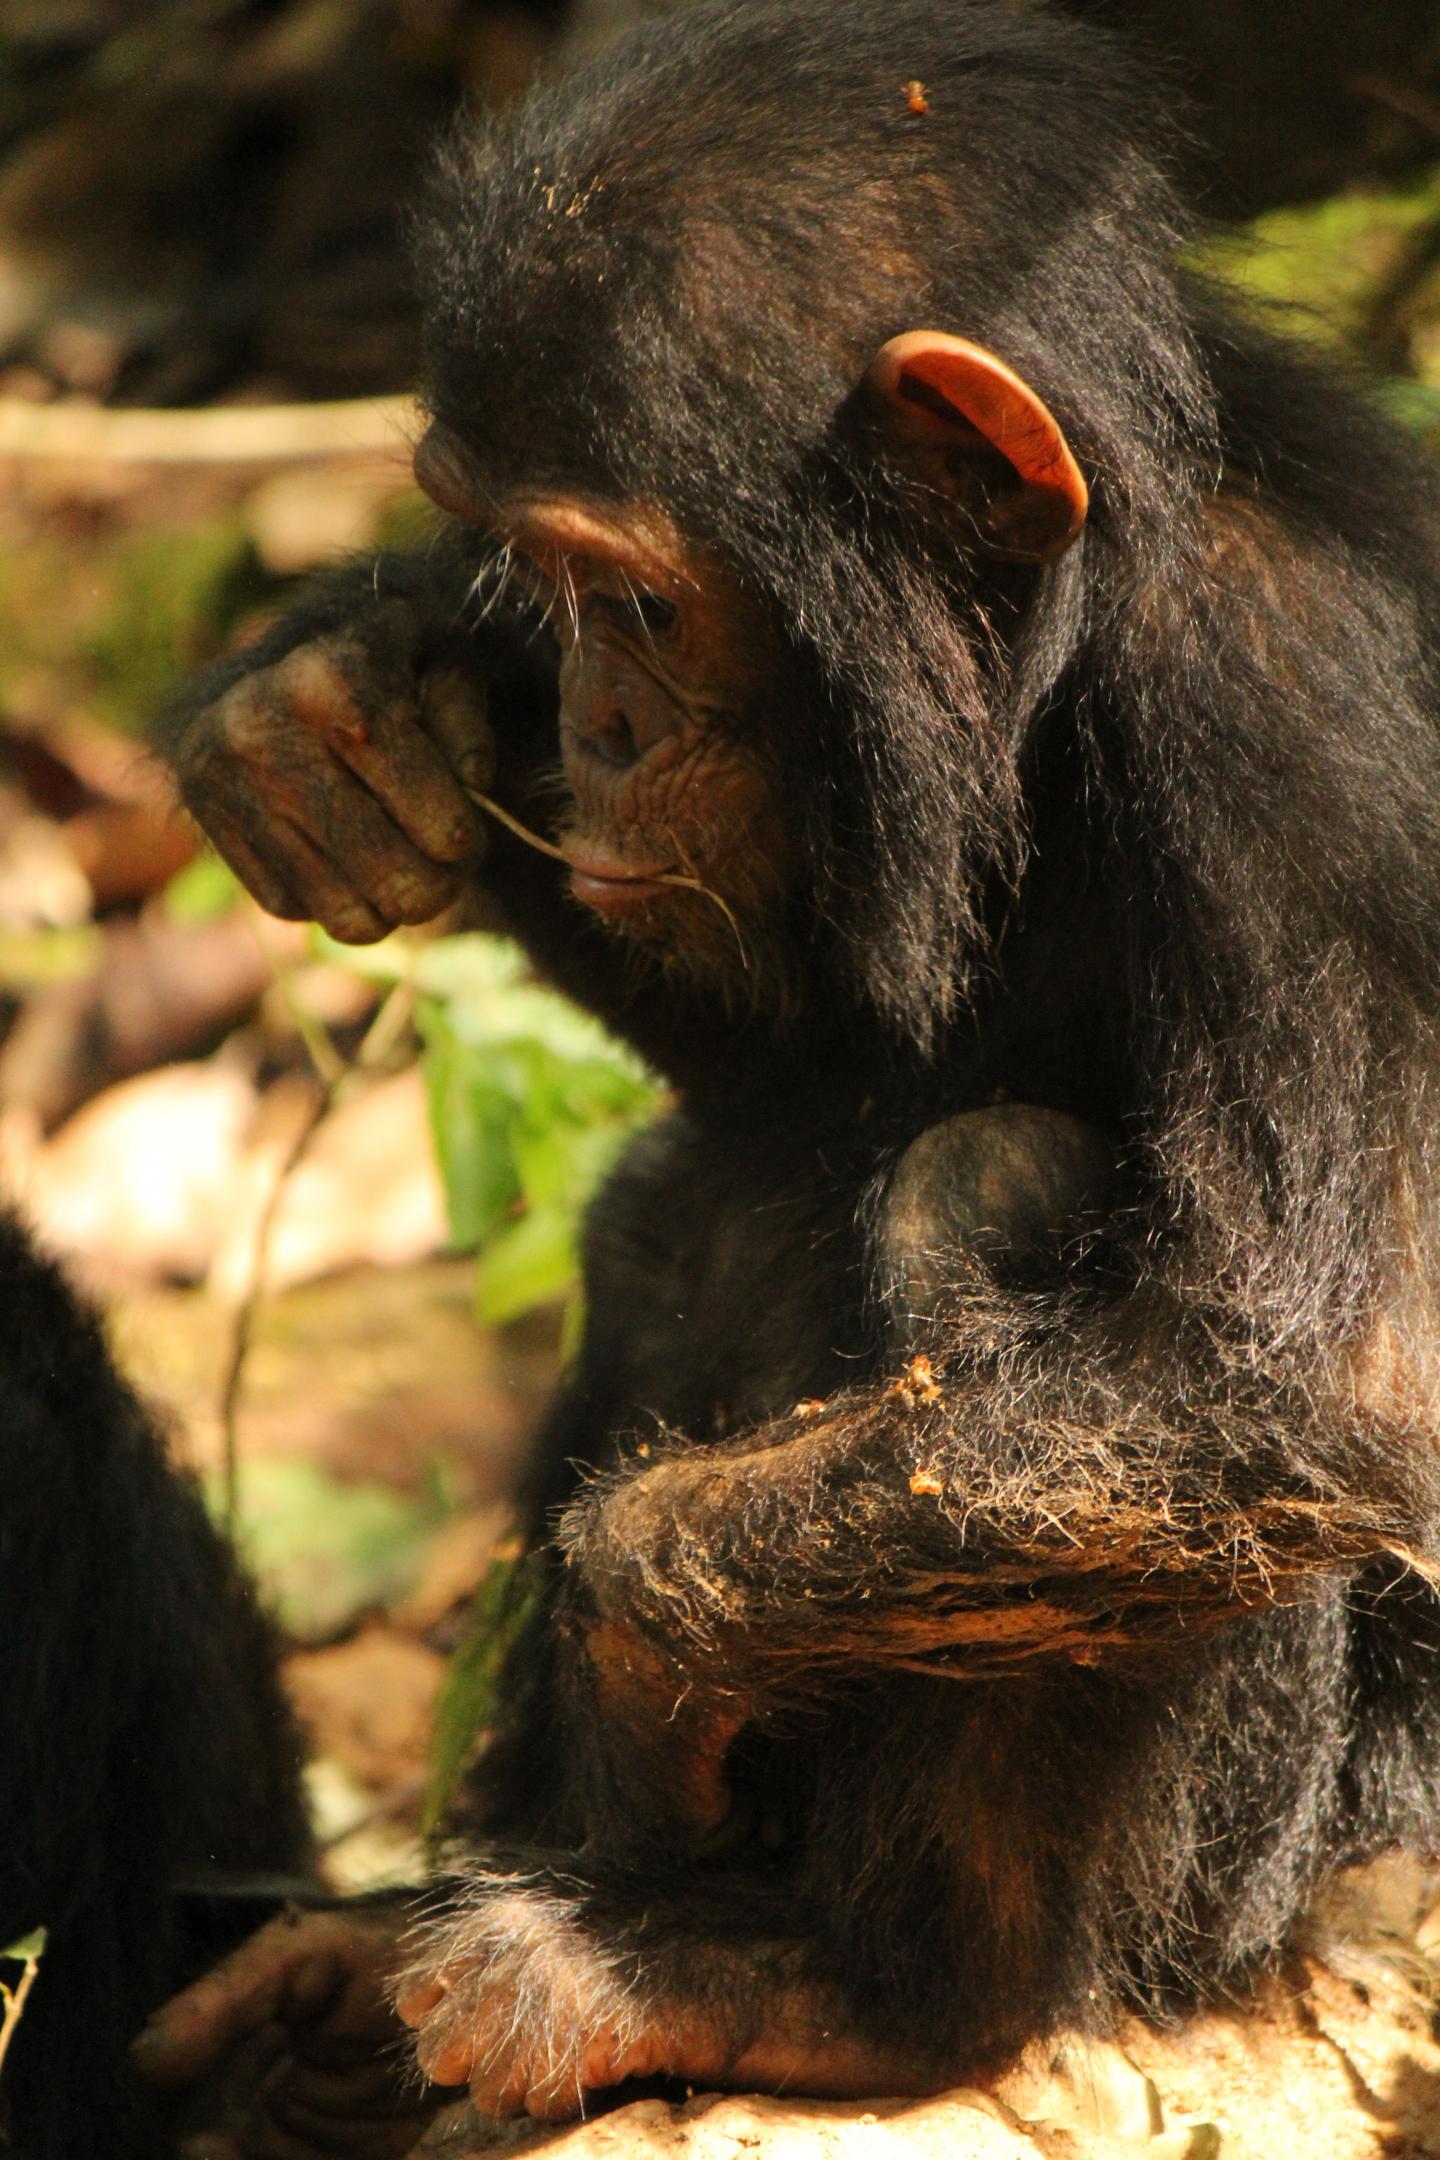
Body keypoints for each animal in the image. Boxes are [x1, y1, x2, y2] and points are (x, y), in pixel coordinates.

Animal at [139, 0, 1440, 2145]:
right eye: (527, 570)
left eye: (641, 600)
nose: (592, 721)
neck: (1080, 609)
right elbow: (799, 1059)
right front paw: (333, 701)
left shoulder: (1312, 730)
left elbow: (1330, 1374)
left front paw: (626, 1656)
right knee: (696, 1203)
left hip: (1269, 1883)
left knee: (985, 1186)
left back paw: (843, 1992)